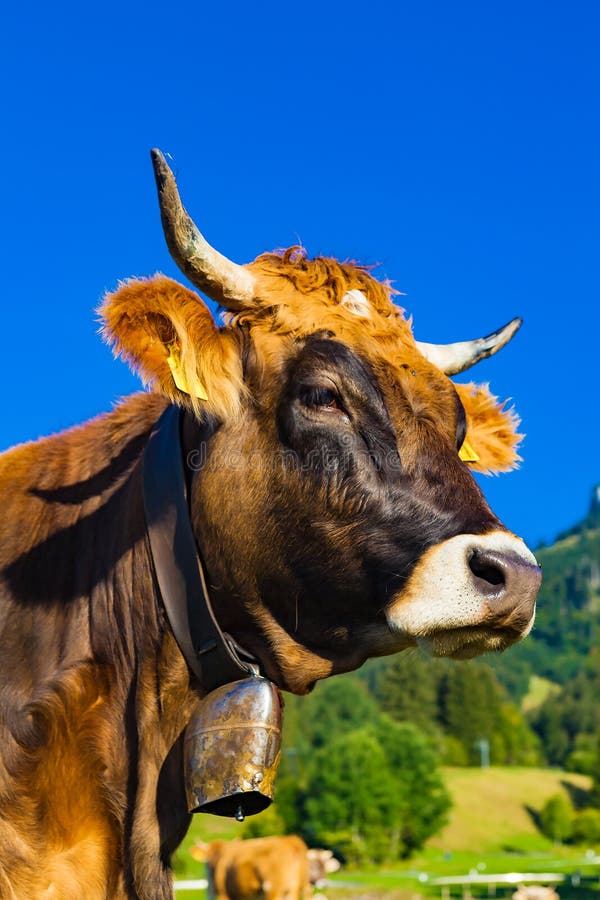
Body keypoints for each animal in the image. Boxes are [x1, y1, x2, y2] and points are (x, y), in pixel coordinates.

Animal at [190, 836, 337, 899]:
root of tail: (290, 840)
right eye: (315, 865)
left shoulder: (224, 894)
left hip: (274, 890)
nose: (321, 881)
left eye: (324, 865)